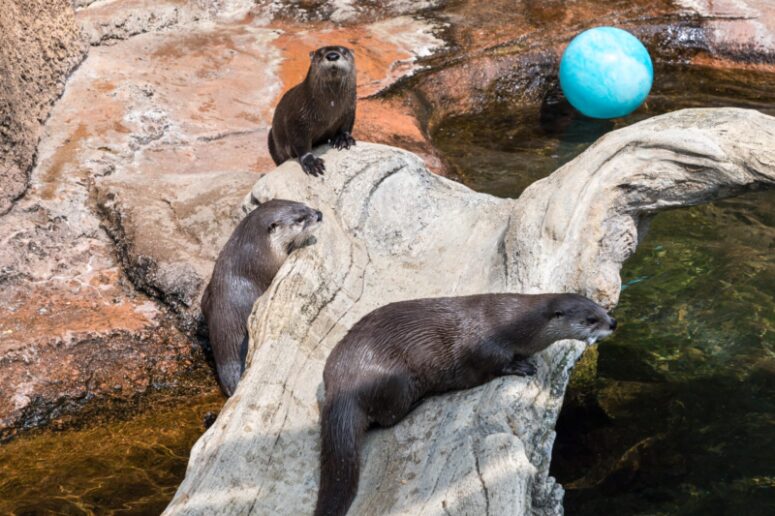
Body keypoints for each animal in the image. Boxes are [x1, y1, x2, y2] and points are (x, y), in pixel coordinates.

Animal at [267, 45, 357, 177]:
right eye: (320, 54)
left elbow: (347, 126)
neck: (330, 110)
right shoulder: (297, 118)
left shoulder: (350, 109)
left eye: (344, 52)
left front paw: (343, 138)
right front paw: (311, 161)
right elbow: (300, 142)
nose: (333, 56)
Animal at [314, 293, 616, 516]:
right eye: (591, 318)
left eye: (602, 308)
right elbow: (492, 363)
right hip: (396, 380)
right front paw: (519, 366)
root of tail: (341, 385)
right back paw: (420, 401)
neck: (513, 323)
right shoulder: (484, 346)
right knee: (388, 417)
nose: (612, 322)